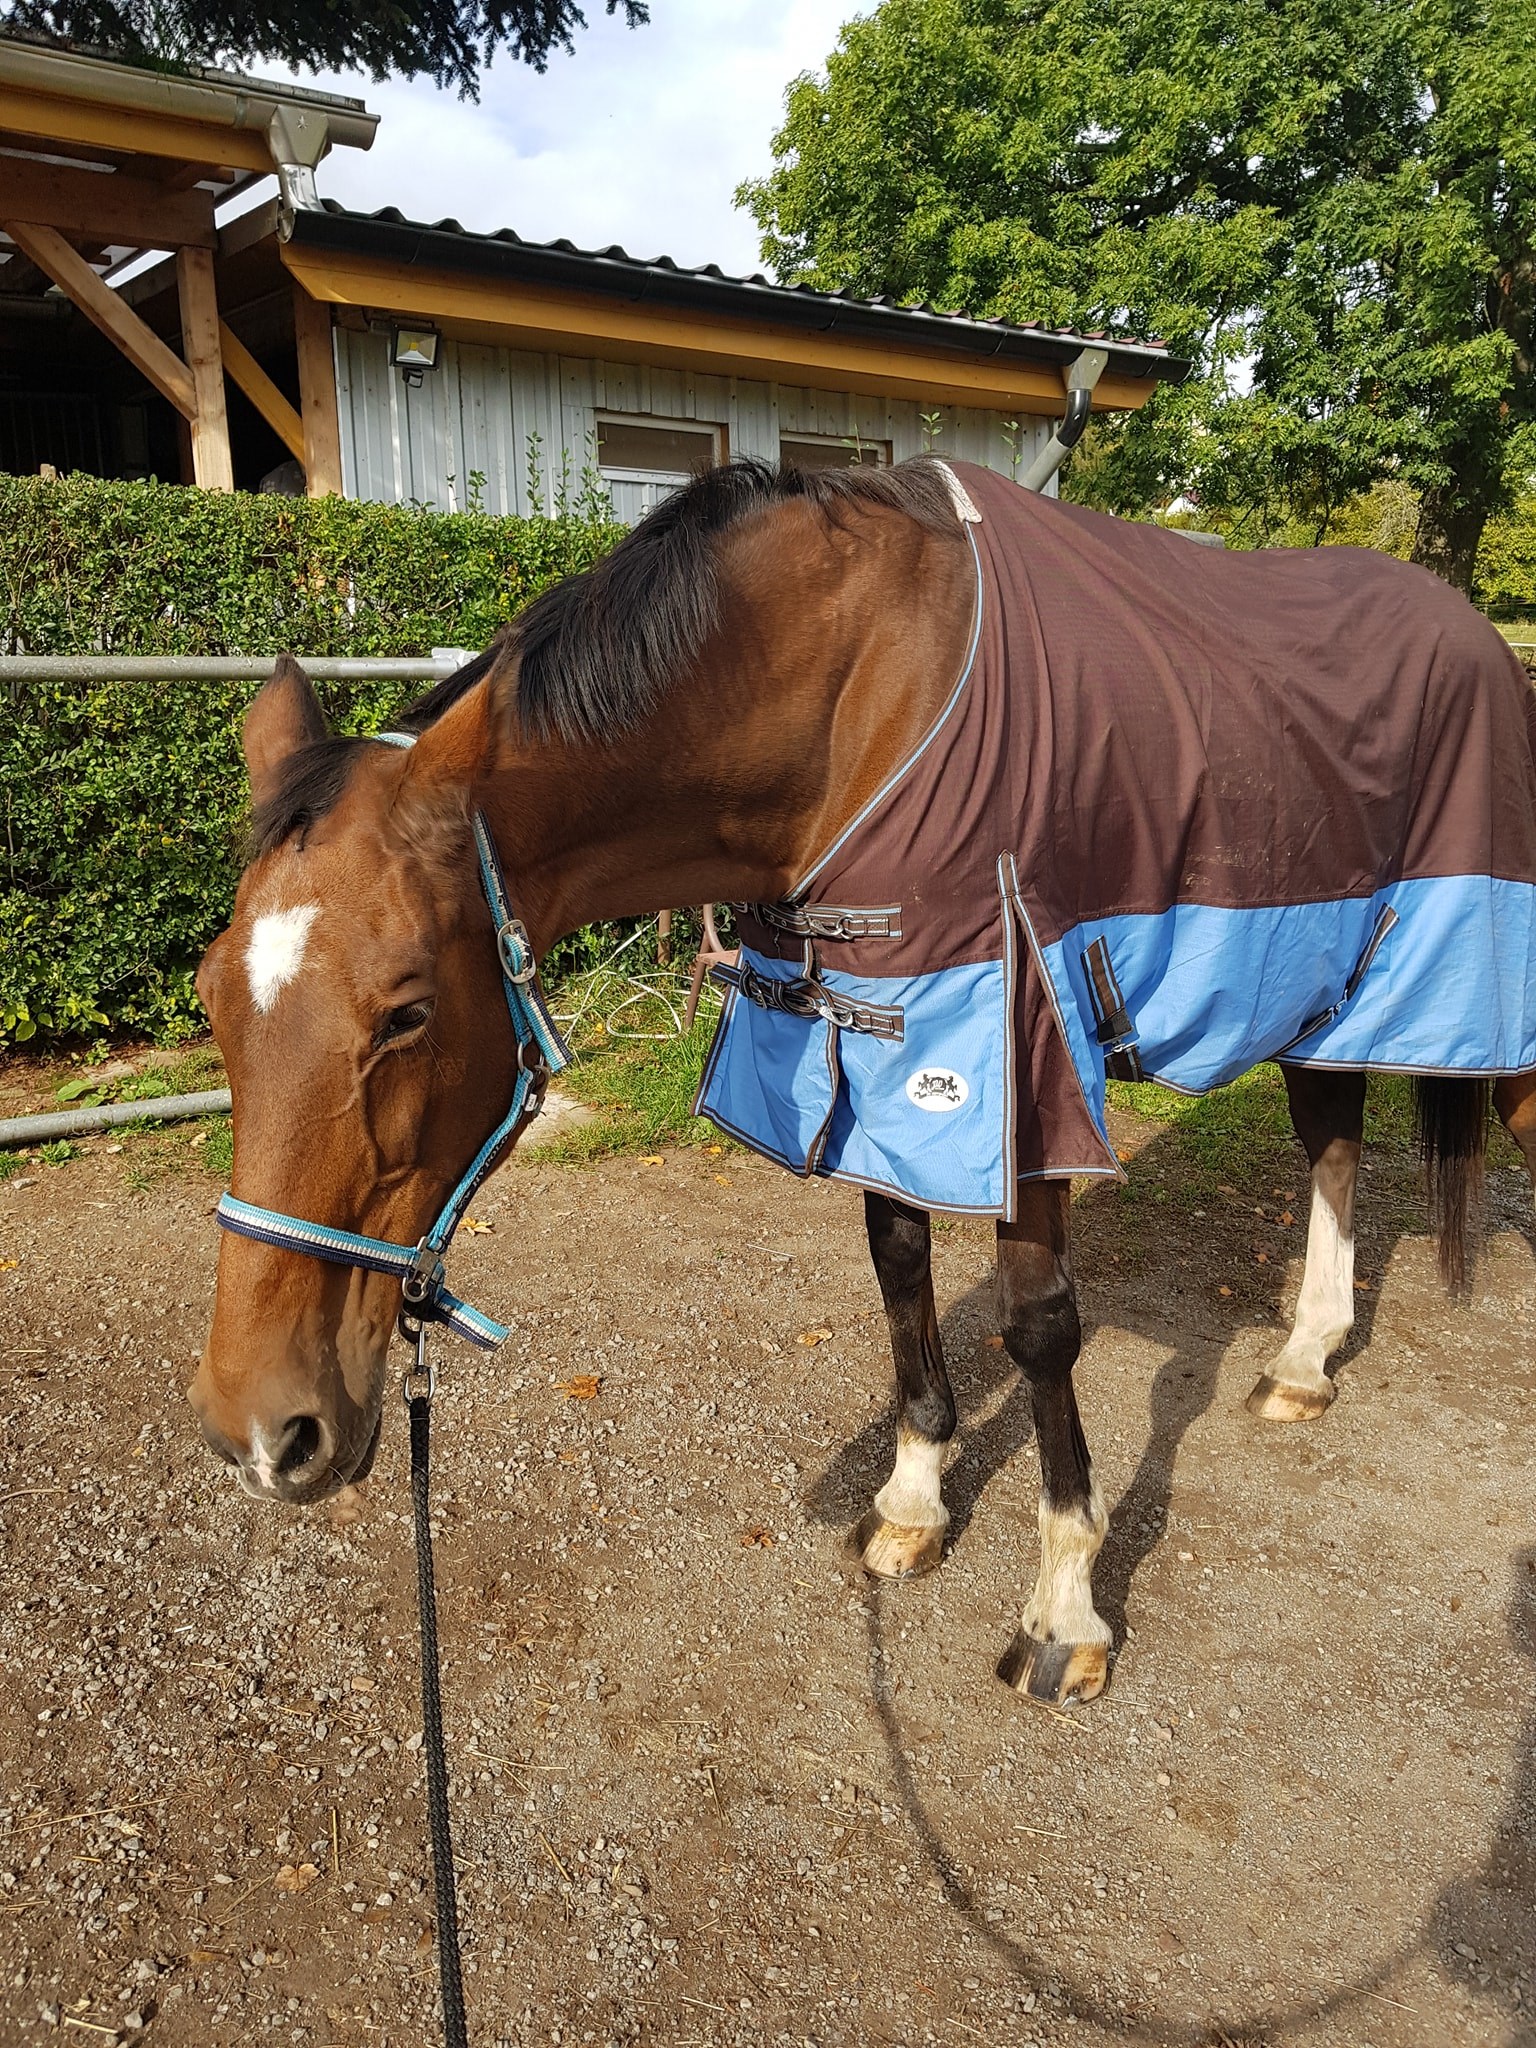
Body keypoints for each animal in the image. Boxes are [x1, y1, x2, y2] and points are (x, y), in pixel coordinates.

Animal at [191, 456, 1536, 1708]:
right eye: (212, 995)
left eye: (406, 1010)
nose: (261, 1432)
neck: (851, 709)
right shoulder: (884, 1054)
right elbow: (900, 1276)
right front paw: (913, 1503)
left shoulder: (1014, 1054)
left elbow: (1040, 1324)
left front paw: (1065, 1608)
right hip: (1328, 983)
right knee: (1333, 1139)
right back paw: (1304, 1358)